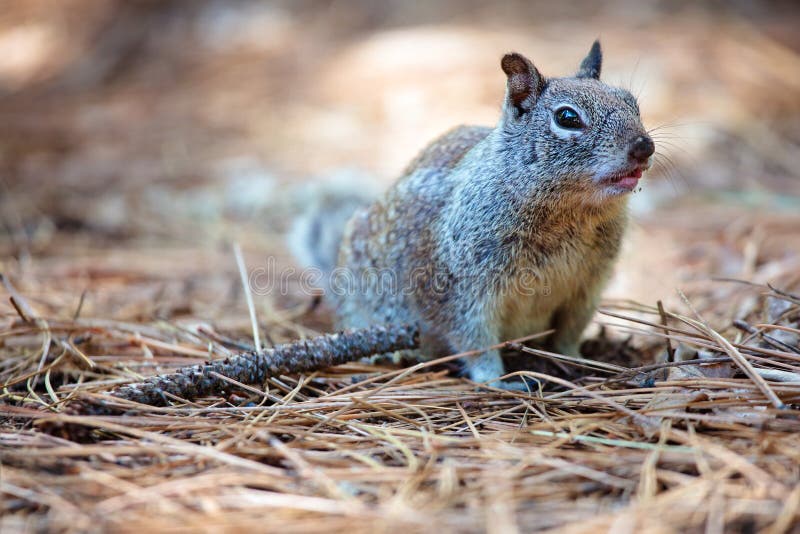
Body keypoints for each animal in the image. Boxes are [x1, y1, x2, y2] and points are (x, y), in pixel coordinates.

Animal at [290, 41, 655, 389]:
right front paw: (498, 380)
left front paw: (580, 361)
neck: (572, 215)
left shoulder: (586, 288)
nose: (644, 147)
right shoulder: (460, 289)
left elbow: (569, 334)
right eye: (567, 118)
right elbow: (475, 340)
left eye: (633, 103)